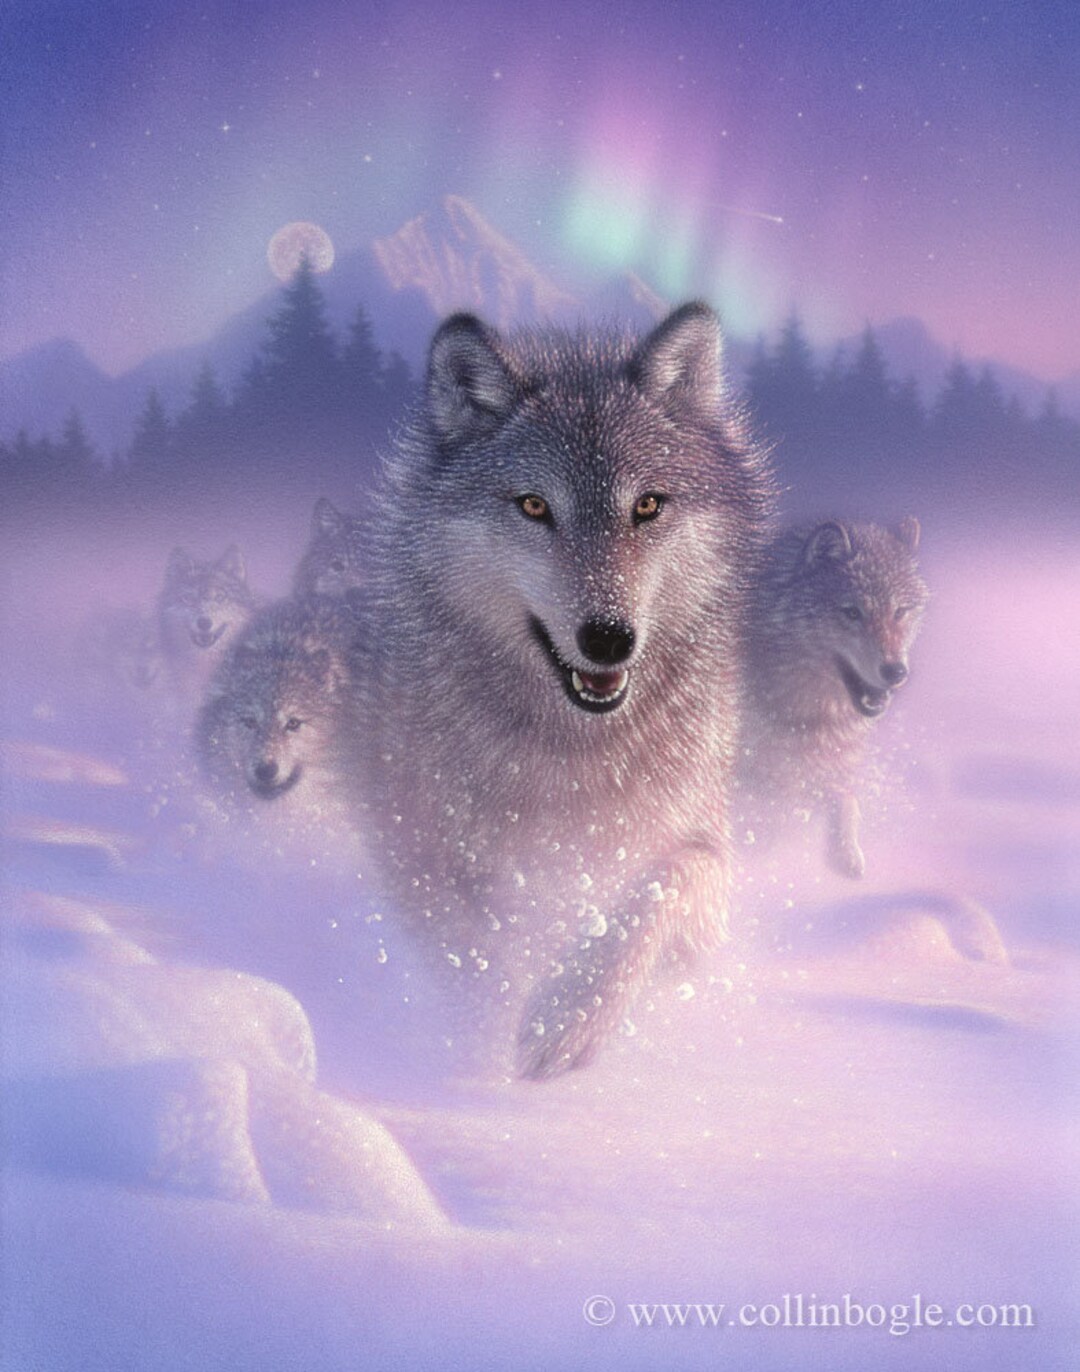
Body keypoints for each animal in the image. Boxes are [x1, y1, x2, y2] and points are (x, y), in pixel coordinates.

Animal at [346, 302, 773, 1079]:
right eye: (535, 506)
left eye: (648, 505)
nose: (607, 638)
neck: (574, 752)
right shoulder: (422, 854)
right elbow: (476, 947)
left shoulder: (701, 857)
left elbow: (658, 888)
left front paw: (563, 1016)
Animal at [740, 518, 929, 877]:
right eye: (852, 612)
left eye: (900, 611)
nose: (896, 671)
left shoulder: (816, 773)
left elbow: (846, 800)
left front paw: (846, 853)